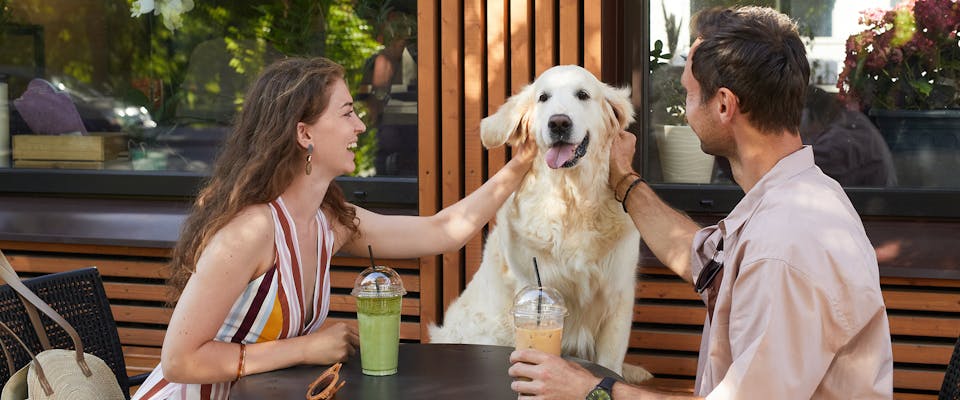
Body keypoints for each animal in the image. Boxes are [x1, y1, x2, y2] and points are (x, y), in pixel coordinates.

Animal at [434, 65, 652, 384]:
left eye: (583, 95)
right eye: (543, 97)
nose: (558, 122)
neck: (571, 200)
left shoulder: (618, 296)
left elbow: (610, 362)